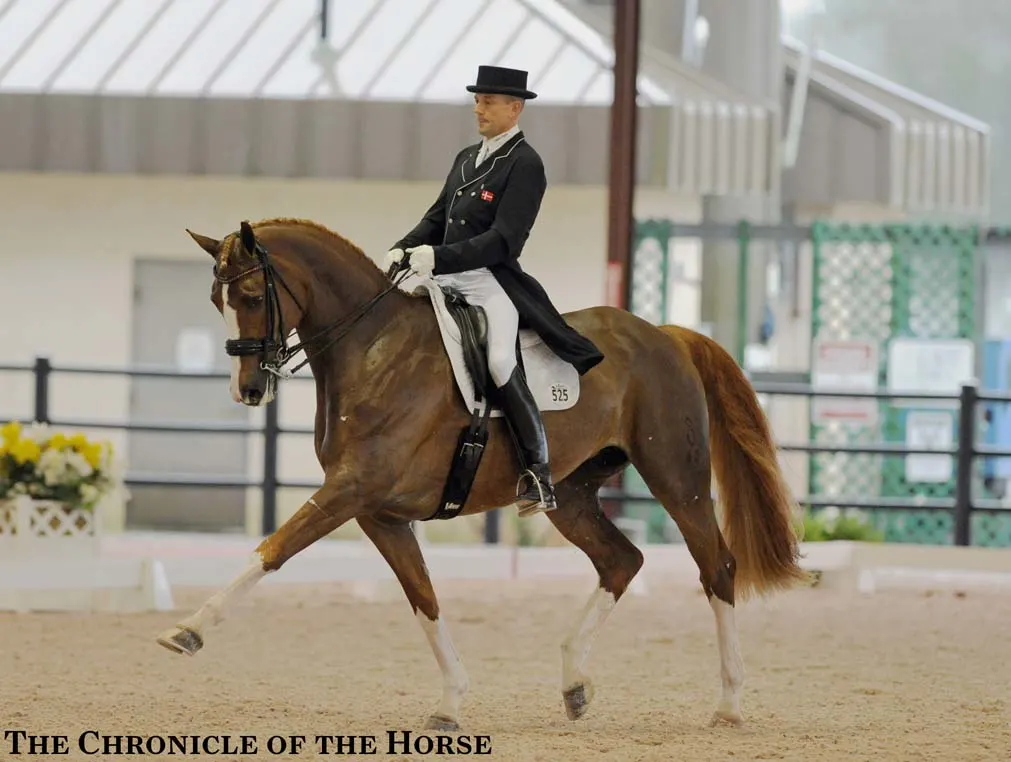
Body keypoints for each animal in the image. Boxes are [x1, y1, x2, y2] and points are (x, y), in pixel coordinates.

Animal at [156, 217, 809, 731]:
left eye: (250, 294)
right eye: (216, 300)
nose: (248, 390)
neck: (373, 349)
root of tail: (665, 335)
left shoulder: (349, 491)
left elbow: (272, 550)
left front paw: (188, 630)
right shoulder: (379, 514)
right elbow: (424, 599)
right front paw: (450, 703)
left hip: (677, 477)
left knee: (716, 567)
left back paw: (728, 704)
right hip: (572, 494)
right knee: (622, 560)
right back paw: (574, 683)